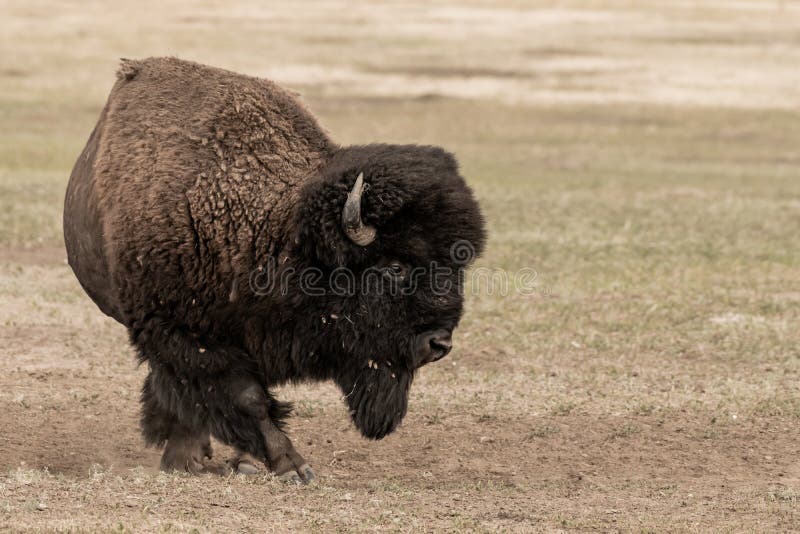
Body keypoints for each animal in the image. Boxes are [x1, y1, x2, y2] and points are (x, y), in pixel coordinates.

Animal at [63, 57, 485, 481]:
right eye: (395, 267)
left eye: (456, 264)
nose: (440, 344)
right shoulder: (181, 332)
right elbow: (244, 397)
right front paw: (292, 467)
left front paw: (240, 461)